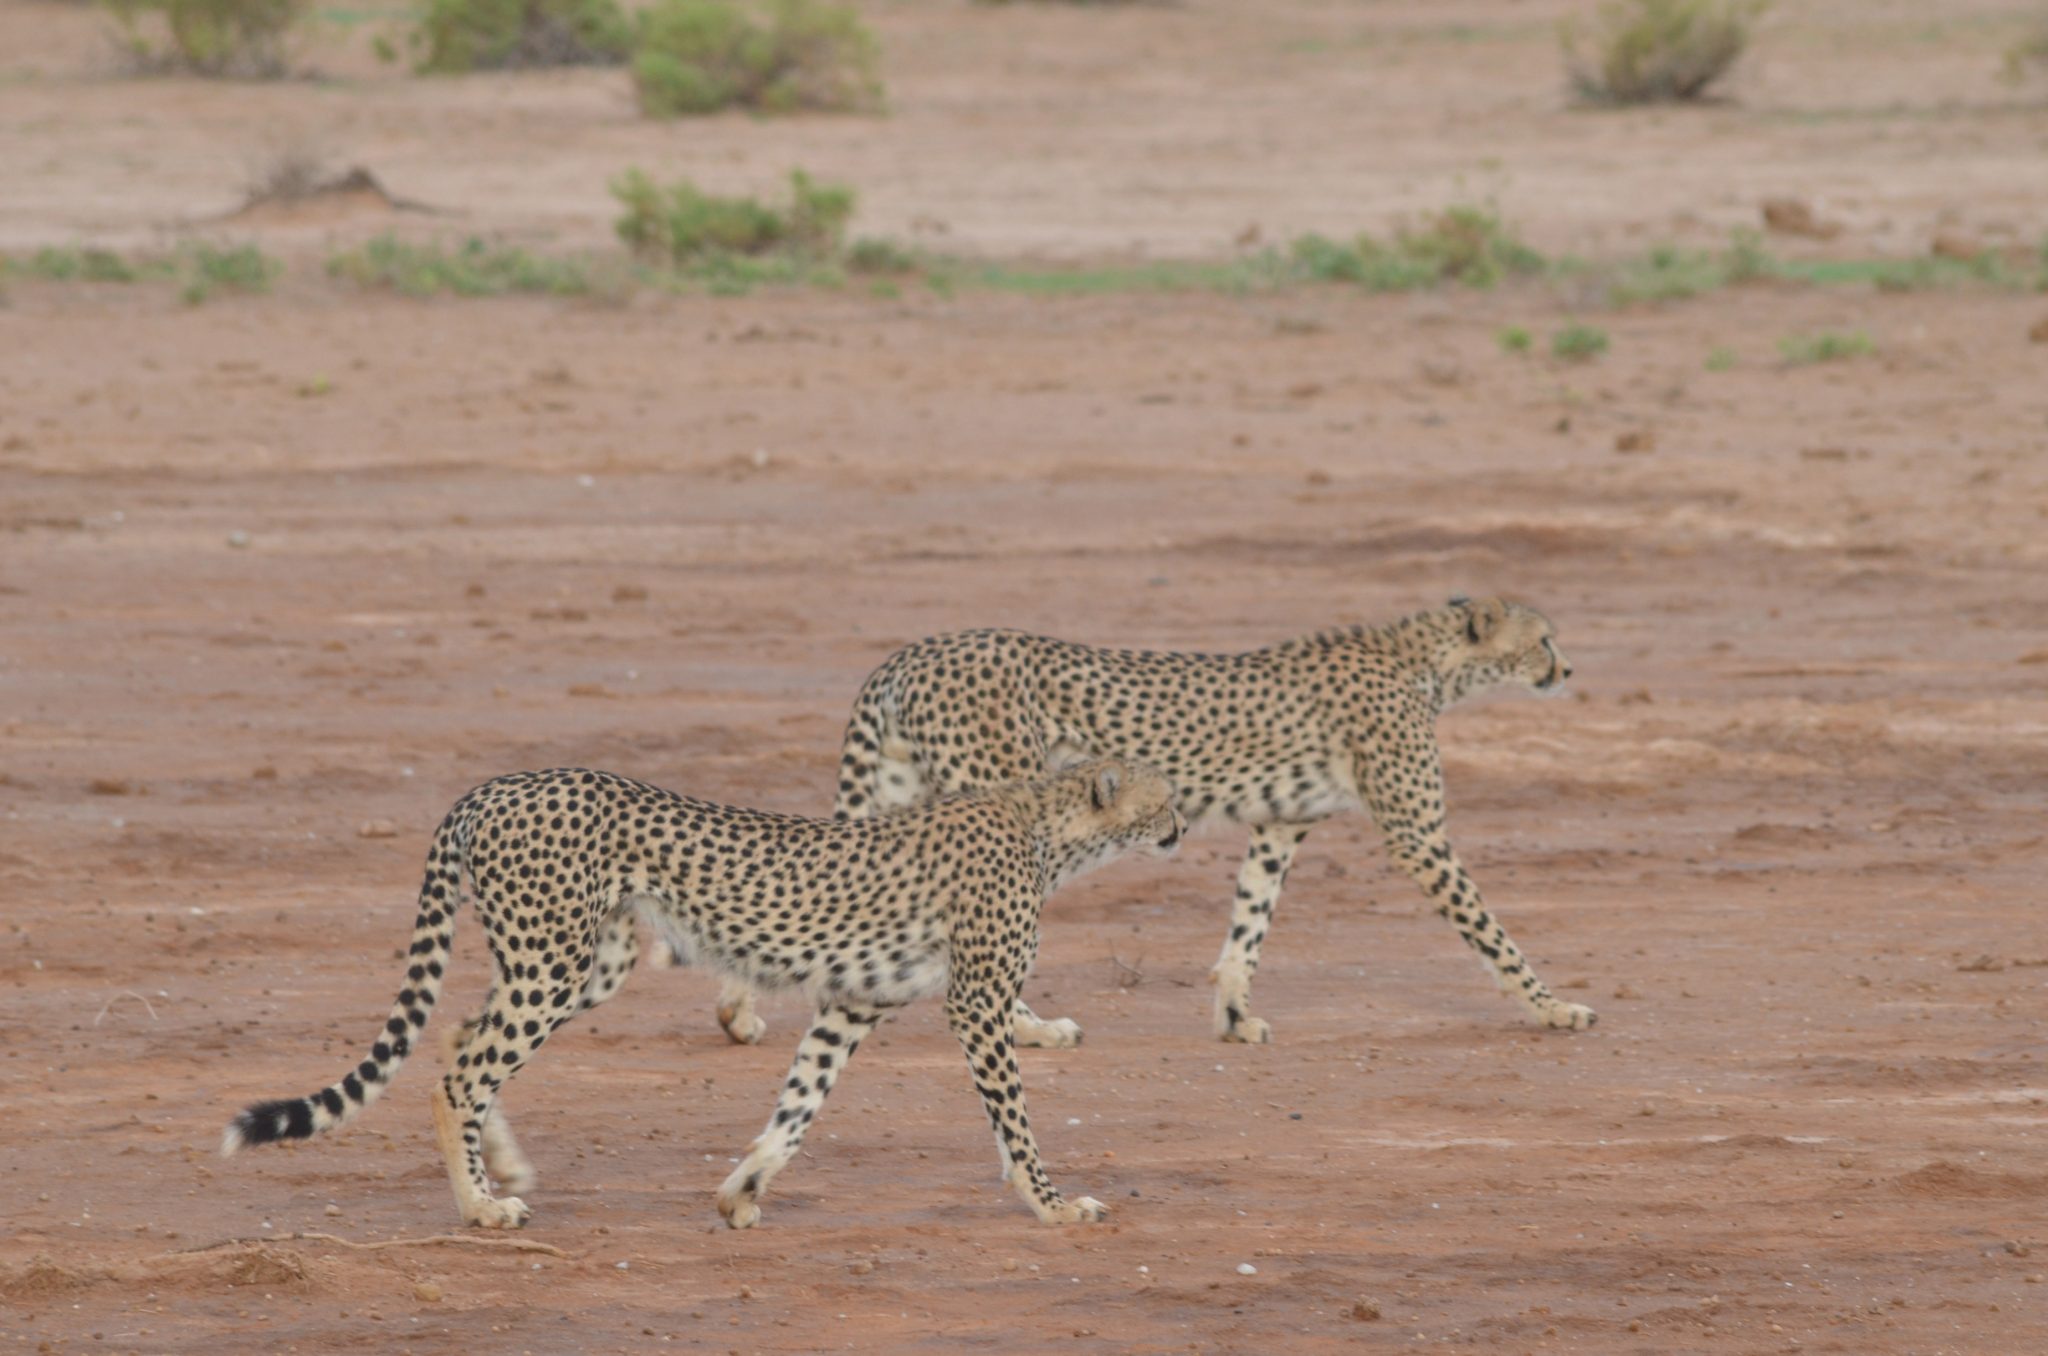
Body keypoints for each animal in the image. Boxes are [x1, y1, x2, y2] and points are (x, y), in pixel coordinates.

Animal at [221, 757, 1185, 1231]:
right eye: (1164, 798)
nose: (1180, 826)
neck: (1048, 826)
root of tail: (491, 787)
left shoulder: (855, 1001)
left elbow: (800, 1102)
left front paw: (742, 1192)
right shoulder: (977, 1005)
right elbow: (1015, 1123)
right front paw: (1053, 1206)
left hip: (580, 962)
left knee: (460, 1038)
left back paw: (501, 1170)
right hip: (555, 962)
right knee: (459, 1072)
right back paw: (480, 1207)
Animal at [706, 595, 1595, 1050]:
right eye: (1544, 638)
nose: (1568, 668)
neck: (1424, 660)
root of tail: (911, 652)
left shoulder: (1280, 823)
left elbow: (1249, 922)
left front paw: (1233, 1014)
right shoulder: (1417, 835)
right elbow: (1490, 930)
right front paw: (1553, 1007)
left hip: (892, 796)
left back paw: (736, 1011)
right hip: (996, 790)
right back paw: (1032, 1027)